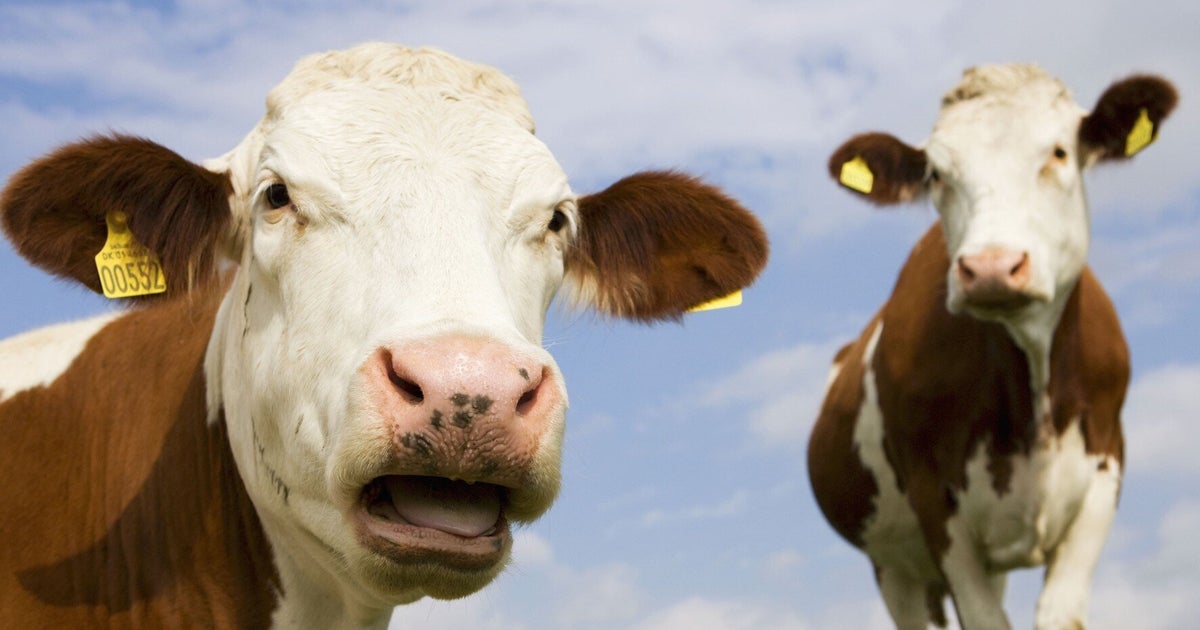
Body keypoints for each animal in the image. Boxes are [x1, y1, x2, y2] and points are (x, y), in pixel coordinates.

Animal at [807, 64, 1176, 629]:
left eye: (1059, 151)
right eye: (936, 174)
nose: (990, 268)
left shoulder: (1104, 470)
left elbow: (1059, 614)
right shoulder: (934, 501)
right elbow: (983, 620)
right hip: (892, 564)